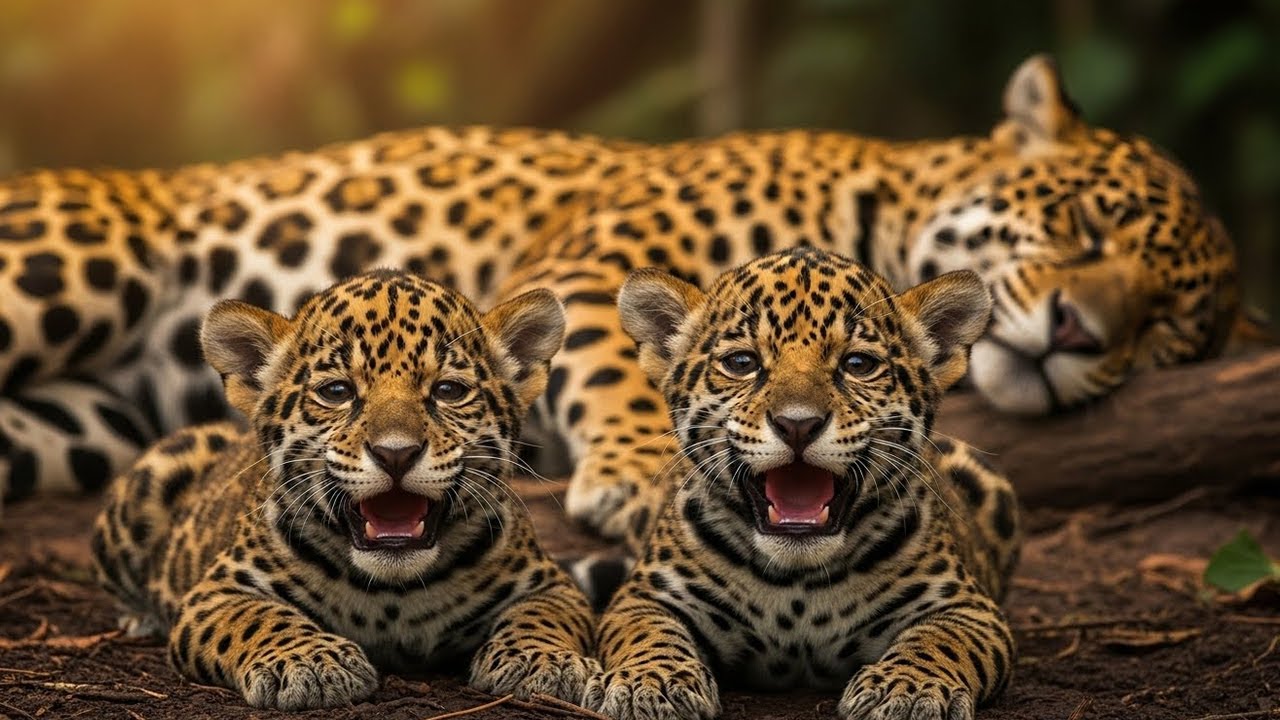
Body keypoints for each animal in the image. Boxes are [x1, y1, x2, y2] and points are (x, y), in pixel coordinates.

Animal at [1, 54, 1238, 545]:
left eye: (1163, 331)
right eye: (1080, 228)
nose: (1076, 332)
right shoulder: (595, 258)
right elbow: (625, 367)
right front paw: (642, 475)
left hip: (78, 422)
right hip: (77, 262)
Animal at [89, 270, 601, 710]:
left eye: (449, 391)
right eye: (337, 392)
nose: (396, 453)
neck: (393, 598)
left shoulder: (552, 586)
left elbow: (541, 617)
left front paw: (541, 660)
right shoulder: (217, 593)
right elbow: (258, 619)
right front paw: (308, 661)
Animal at [584, 247, 1020, 720]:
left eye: (858, 365)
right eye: (741, 363)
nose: (797, 424)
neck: (798, 586)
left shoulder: (968, 608)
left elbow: (938, 642)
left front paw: (908, 687)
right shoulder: (644, 595)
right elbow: (649, 635)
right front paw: (652, 682)